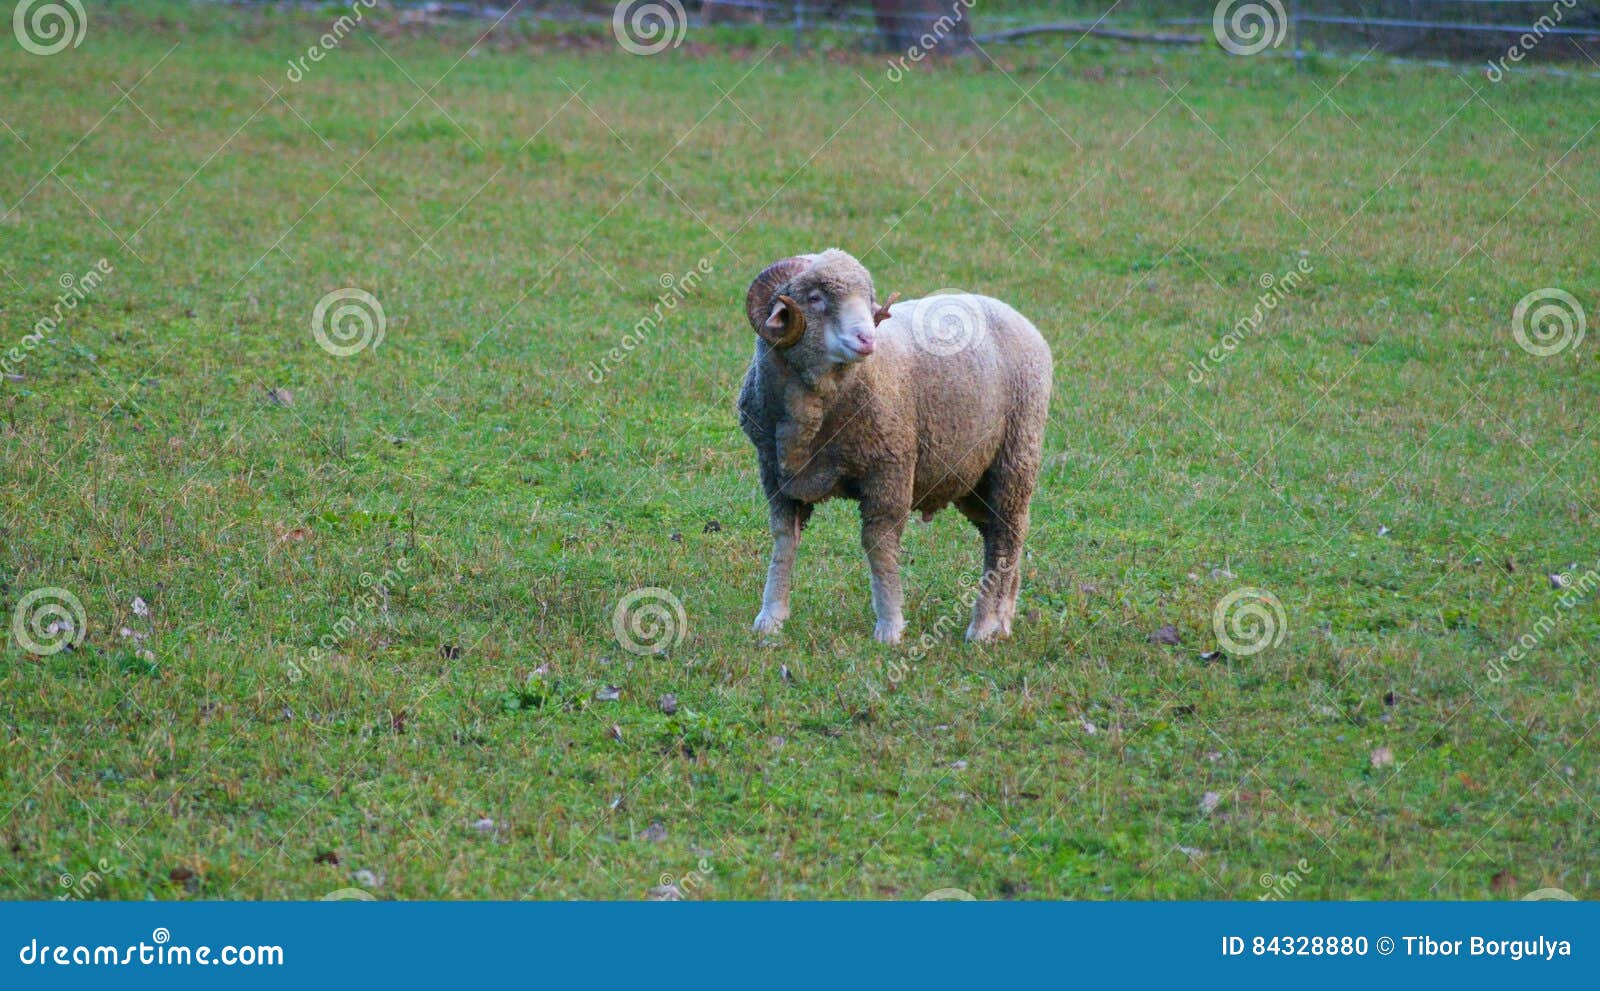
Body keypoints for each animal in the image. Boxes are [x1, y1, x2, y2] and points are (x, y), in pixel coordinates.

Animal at [736, 249, 1052, 644]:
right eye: (815, 298)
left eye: (867, 299)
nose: (867, 339)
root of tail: (1017, 316)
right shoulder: (774, 473)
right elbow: (783, 540)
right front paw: (770, 618)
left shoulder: (890, 468)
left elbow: (879, 545)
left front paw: (889, 626)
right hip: (973, 476)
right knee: (1002, 535)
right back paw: (1003, 621)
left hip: (1016, 455)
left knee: (1006, 537)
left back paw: (981, 627)